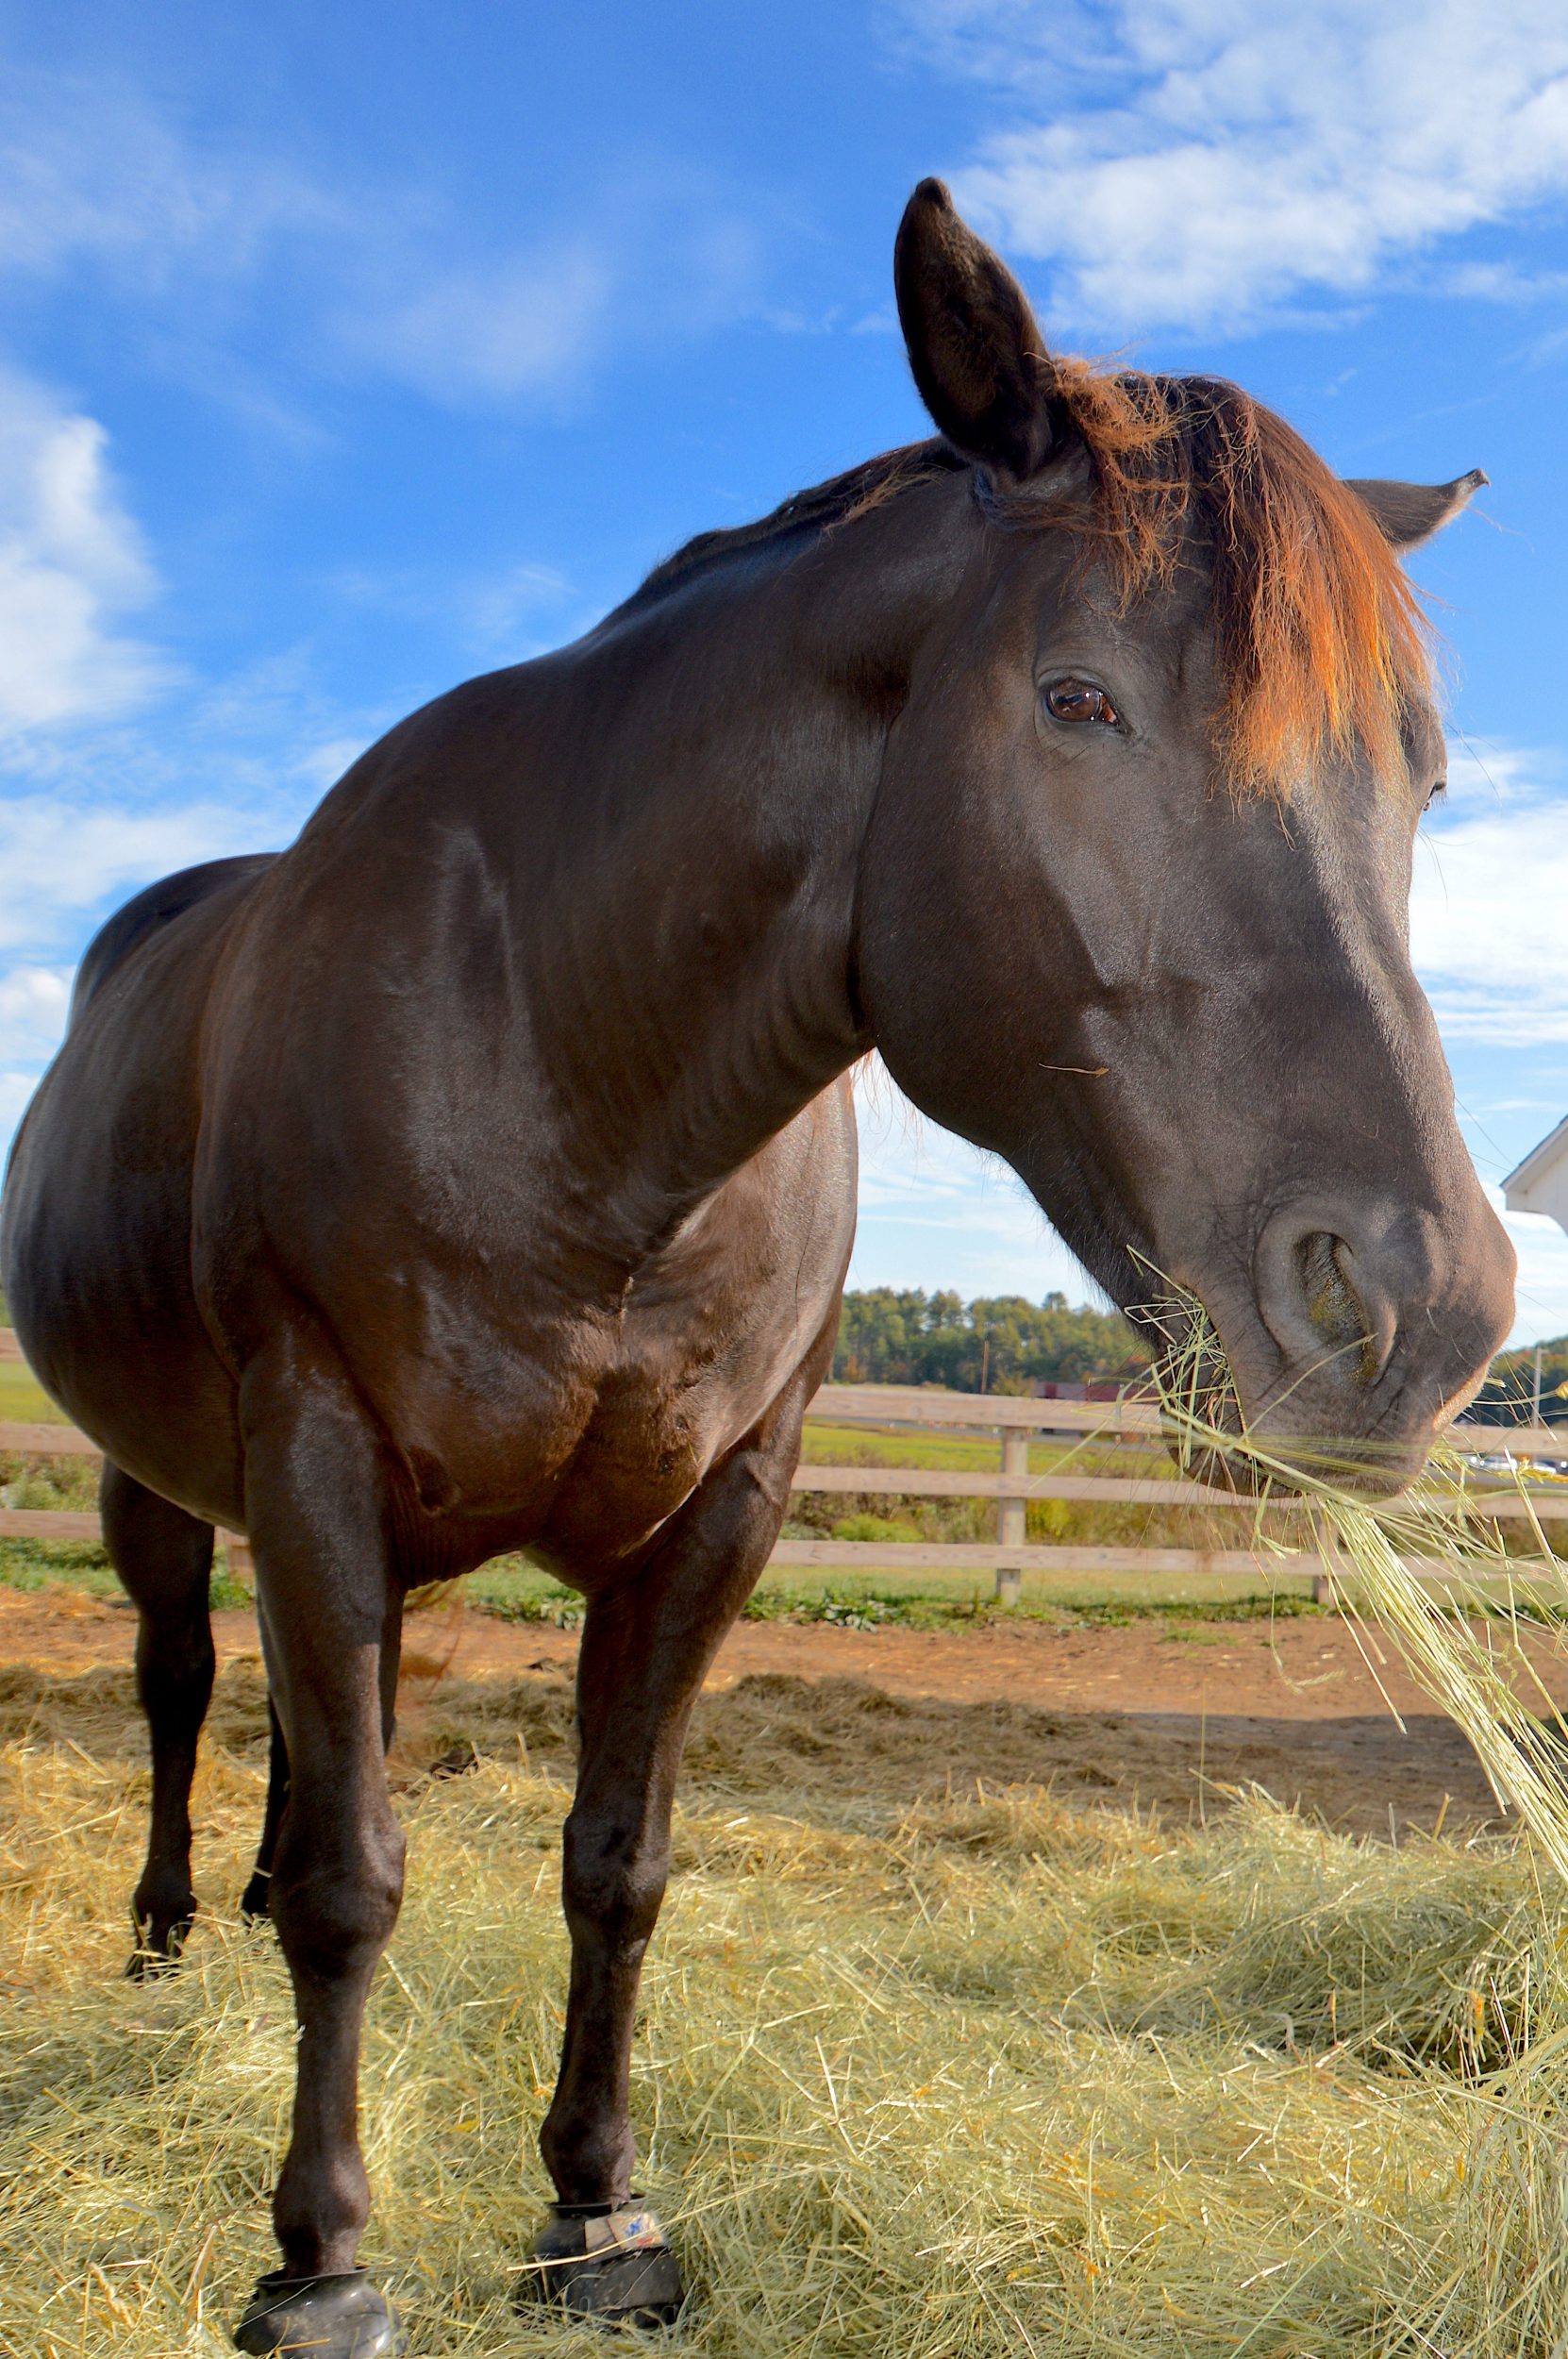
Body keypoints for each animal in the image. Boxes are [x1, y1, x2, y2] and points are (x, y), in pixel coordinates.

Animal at [0, 180, 1514, 2353]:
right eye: (1075, 698)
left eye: (1427, 775)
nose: (1420, 1310)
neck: (560, 1048)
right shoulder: (311, 1451)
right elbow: (366, 1876)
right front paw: (326, 2256)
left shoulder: (725, 1501)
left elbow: (615, 1862)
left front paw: (595, 2212)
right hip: (168, 1488)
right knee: (186, 1691)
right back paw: (160, 1940)